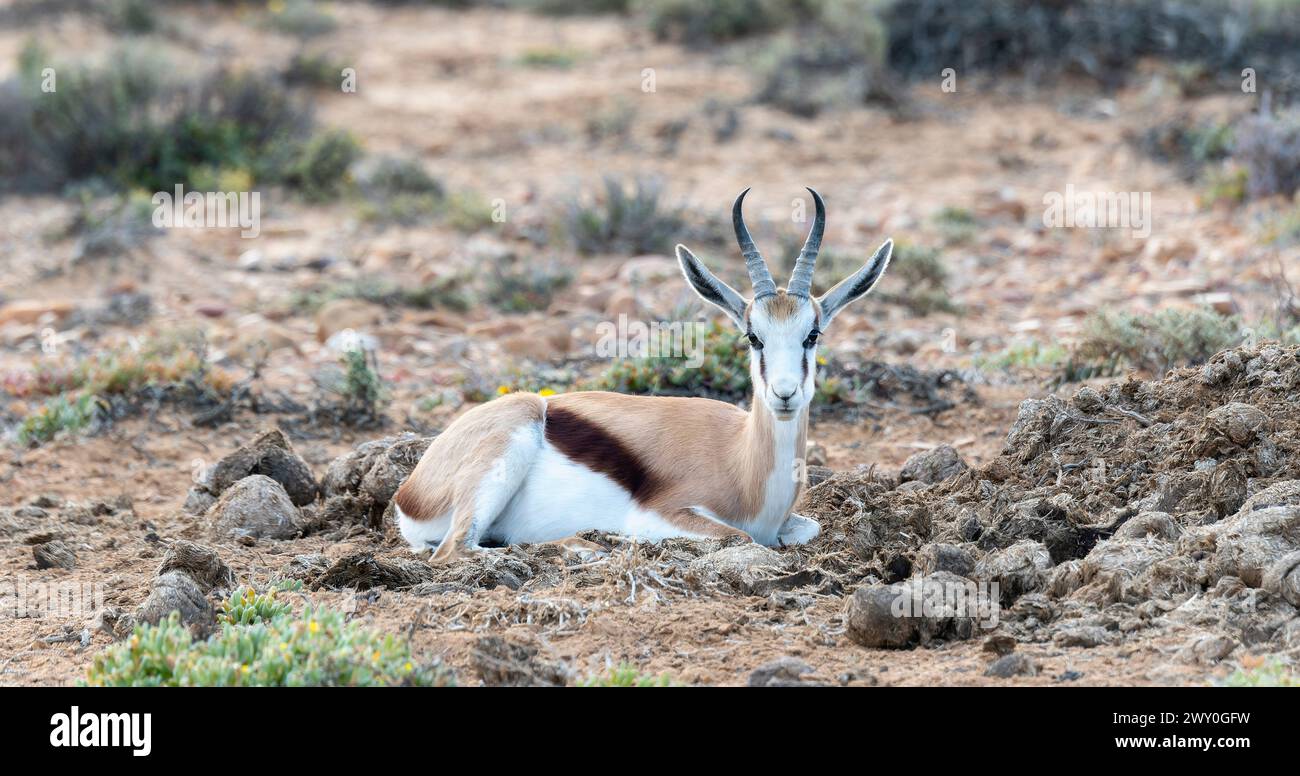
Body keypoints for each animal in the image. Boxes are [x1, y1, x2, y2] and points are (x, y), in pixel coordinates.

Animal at [393, 188, 892, 562]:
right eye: (754, 336)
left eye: (812, 334)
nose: (784, 395)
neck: (740, 460)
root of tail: (408, 493)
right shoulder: (665, 513)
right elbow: (739, 537)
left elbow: (809, 528)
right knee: (454, 551)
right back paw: (591, 547)